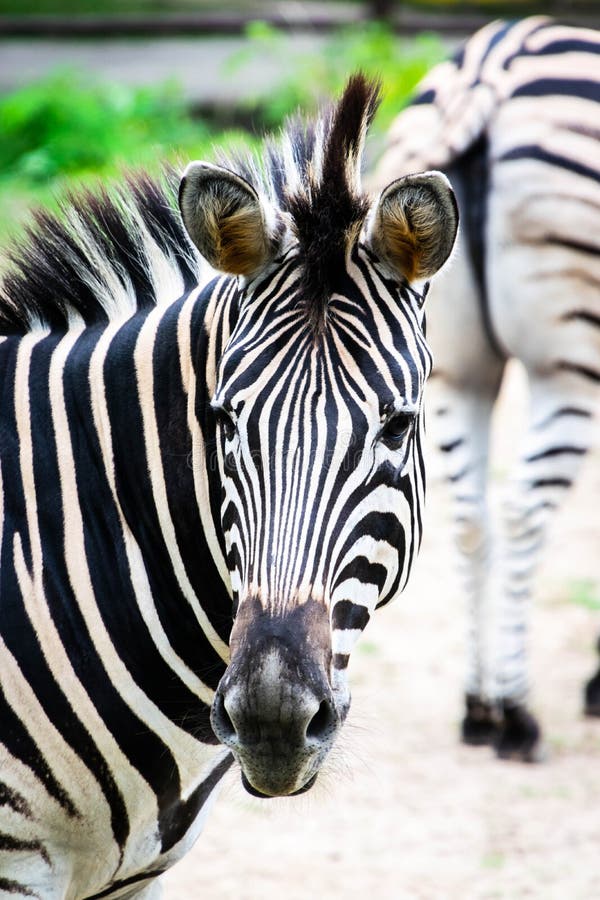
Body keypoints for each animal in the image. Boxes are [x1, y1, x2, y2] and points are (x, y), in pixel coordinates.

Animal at [373, 16, 600, 762]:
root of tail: (489, 67)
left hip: (451, 366)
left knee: (470, 517)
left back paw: (477, 707)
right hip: (568, 364)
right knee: (523, 510)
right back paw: (516, 712)